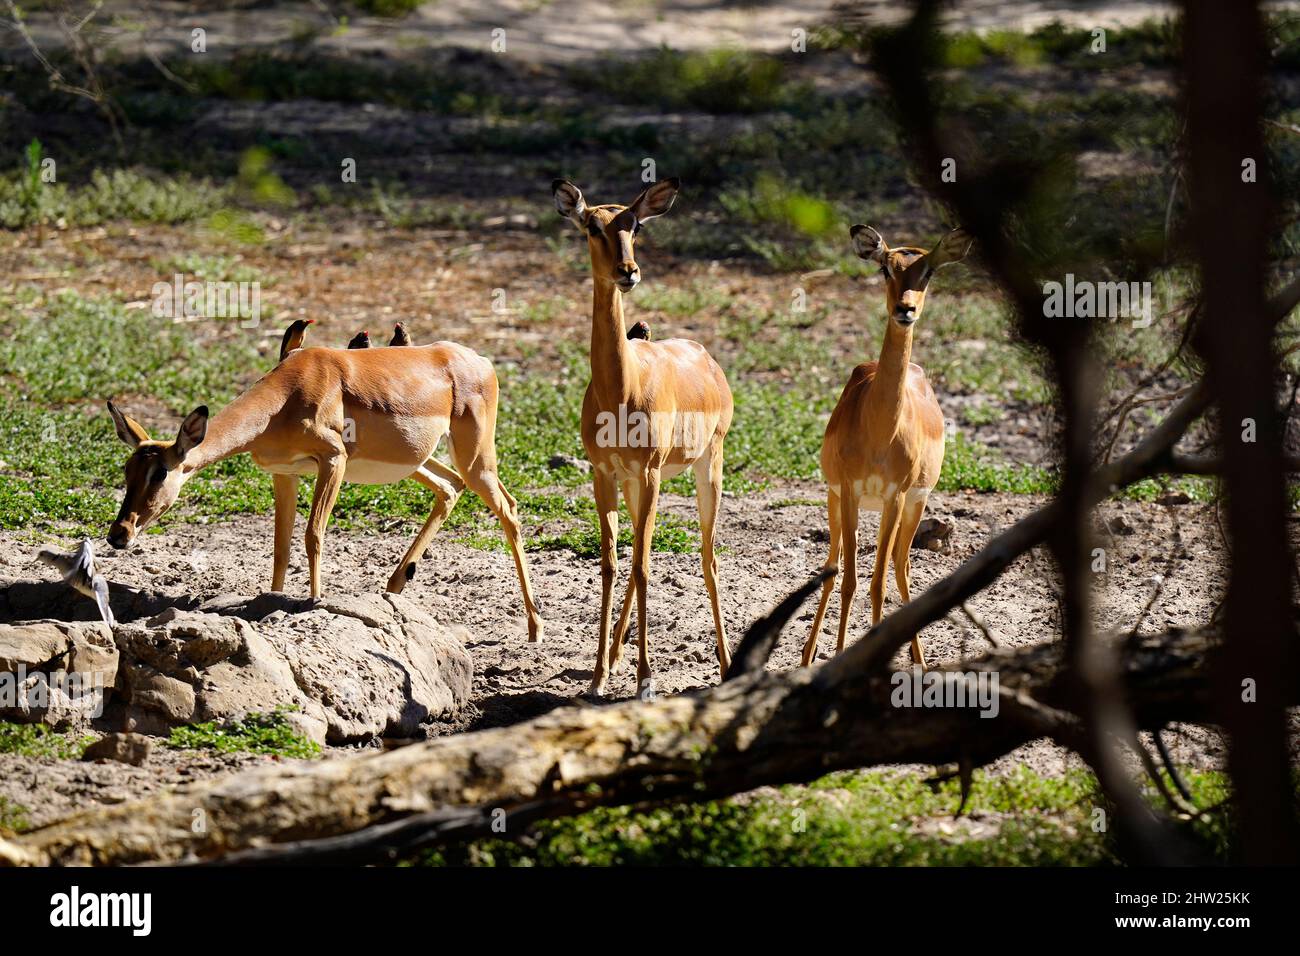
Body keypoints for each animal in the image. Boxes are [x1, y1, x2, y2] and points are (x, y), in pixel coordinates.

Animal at [104, 342, 544, 641]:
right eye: (127, 469)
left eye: (160, 473)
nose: (118, 534)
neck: (287, 394)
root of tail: (478, 360)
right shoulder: (284, 474)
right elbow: (280, 546)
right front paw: (273, 600)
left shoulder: (333, 460)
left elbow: (313, 534)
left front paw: (315, 603)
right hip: (420, 463)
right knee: (450, 488)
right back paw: (394, 585)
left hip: (476, 457)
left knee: (509, 508)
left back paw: (535, 627)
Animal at [552, 177, 733, 697]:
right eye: (592, 225)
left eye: (634, 226)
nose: (628, 271)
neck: (623, 386)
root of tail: (705, 357)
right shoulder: (604, 473)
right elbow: (613, 564)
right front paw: (597, 677)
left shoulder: (649, 471)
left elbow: (645, 565)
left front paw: (646, 680)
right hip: (637, 482)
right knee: (638, 551)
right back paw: (614, 659)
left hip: (706, 467)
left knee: (707, 556)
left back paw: (727, 664)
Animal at [801, 224, 971, 669]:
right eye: (885, 269)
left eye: (928, 271)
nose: (905, 309)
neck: (880, 431)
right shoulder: (850, 492)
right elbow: (849, 580)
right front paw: (838, 653)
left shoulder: (896, 495)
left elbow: (878, 582)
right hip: (838, 500)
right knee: (832, 566)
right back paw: (808, 655)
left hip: (914, 504)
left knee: (900, 567)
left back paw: (920, 660)